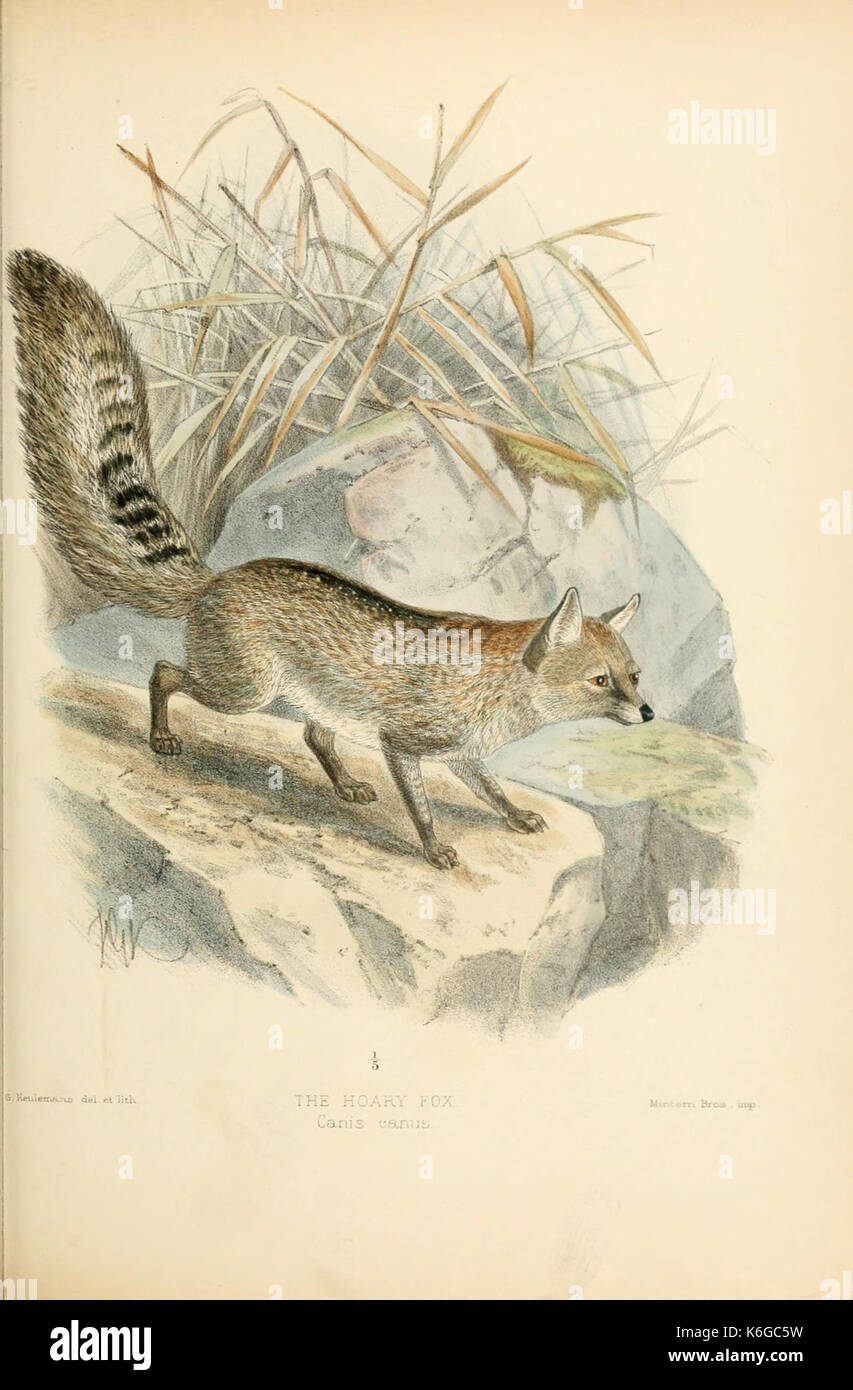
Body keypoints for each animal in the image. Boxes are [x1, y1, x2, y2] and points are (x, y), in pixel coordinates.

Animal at [7, 249, 653, 869]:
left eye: (634, 674)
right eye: (600, 680)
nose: (648, 712)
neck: (494, 680)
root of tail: (219, 578)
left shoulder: (461, 753)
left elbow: (492, 790)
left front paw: (515, 816)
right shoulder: (403, 744)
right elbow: (422, 807)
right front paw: (433, 850)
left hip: (306, 699)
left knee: (314, 737)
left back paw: (345, 785)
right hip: (246, 691)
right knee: (165, 673)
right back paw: (163, 737)